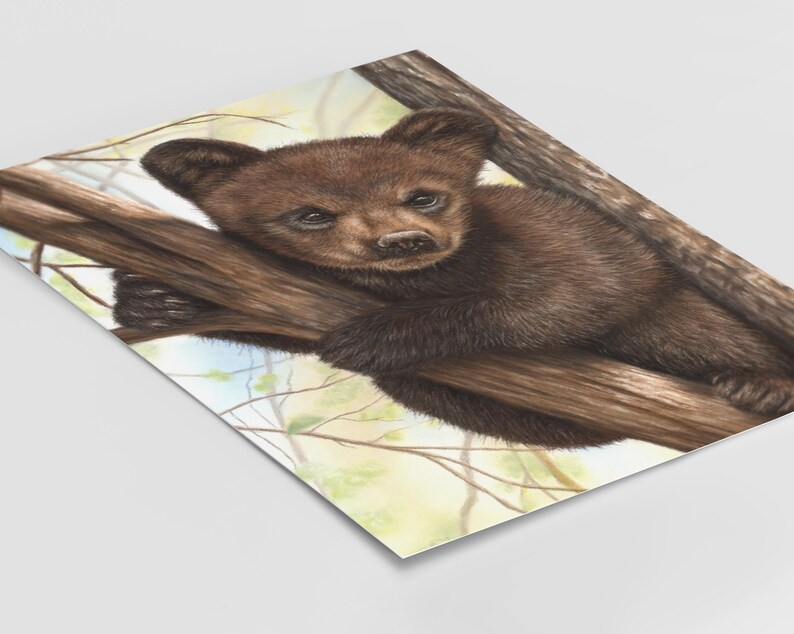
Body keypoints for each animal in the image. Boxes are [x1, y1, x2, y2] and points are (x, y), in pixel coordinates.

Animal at [113, 108, 794, 448]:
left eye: (424, 196)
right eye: (311, 214)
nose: (403, 241)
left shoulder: (573, 246)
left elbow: (561, 299)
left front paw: (378, 337)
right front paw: (153, 298)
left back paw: (760, 386)